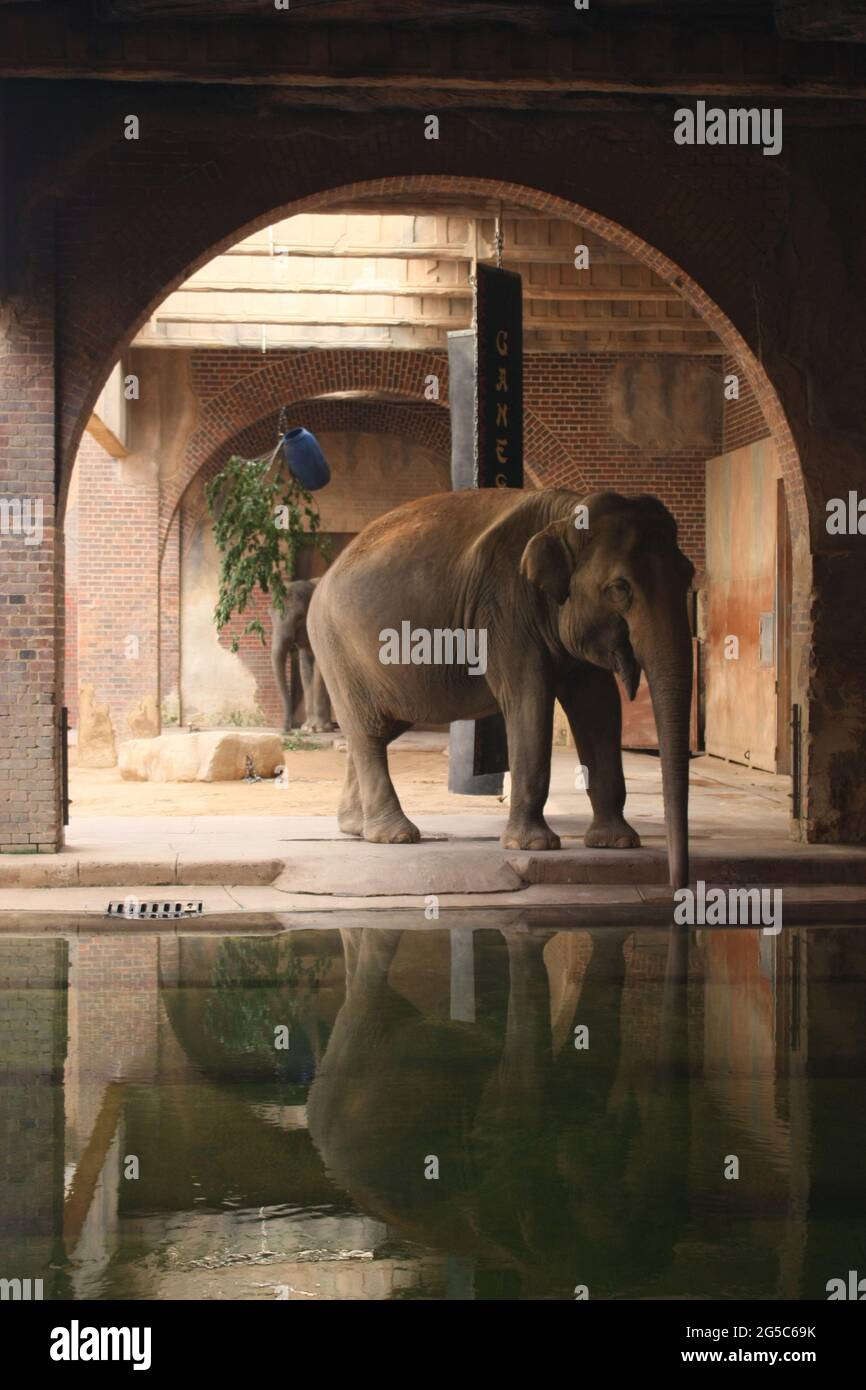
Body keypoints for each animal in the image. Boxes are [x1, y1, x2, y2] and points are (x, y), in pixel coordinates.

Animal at [270, 579, 335, 734]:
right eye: (270, 617)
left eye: (300, 617)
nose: (286, 730)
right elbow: (305, 668)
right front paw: (307, 727)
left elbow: (318, 669)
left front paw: (319, 728)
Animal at [307, 488, 694, 888]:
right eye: (619, 589)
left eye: (689, 575)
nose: (677, 886)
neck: (565, 517)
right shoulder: (505, 611)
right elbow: (530, 701)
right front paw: (534, 846)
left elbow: (599, 707)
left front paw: (616, 843)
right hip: (336, 649)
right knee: (368, 733)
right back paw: (395, 835)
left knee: (378, 729)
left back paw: (355, 826)